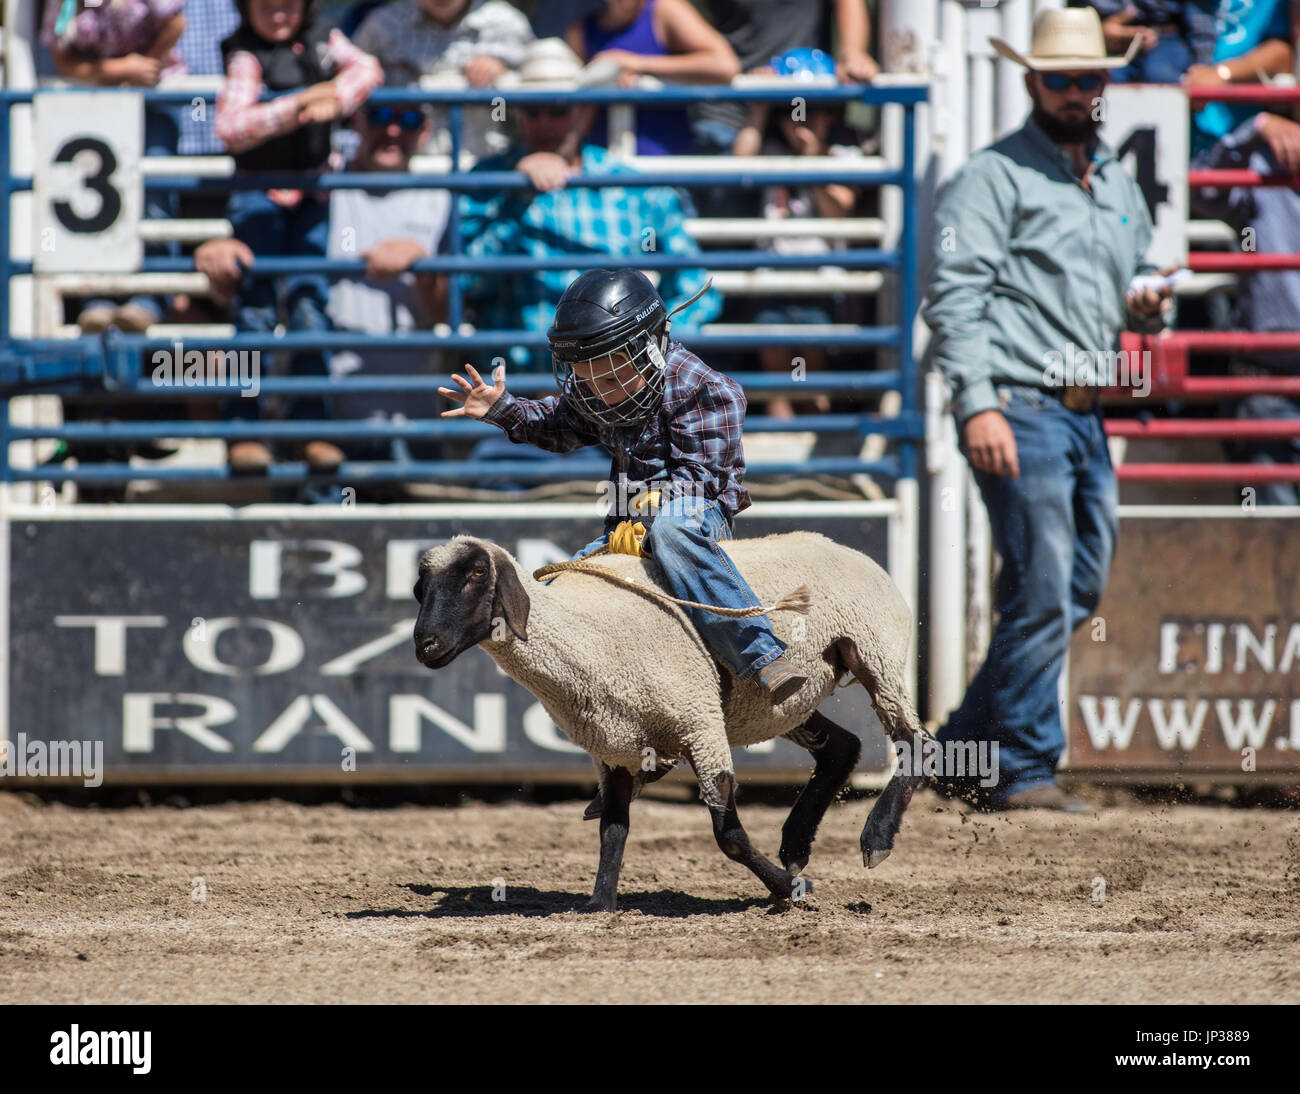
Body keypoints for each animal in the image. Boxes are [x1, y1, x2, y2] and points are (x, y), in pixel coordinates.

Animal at [413, 532, 931, 912]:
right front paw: (600, 905)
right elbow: (613, 829)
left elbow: (729, 836)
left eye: (477, 572)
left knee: (916, 740)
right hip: (784, 702)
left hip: (874, 652)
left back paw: (875, 837)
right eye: (421, 586)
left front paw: (791, 892)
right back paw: (796, 844)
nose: (425, 645)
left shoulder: (700, 725)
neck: (586, 637)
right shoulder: (613, 750)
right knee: (842, 748)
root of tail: (849, 550)